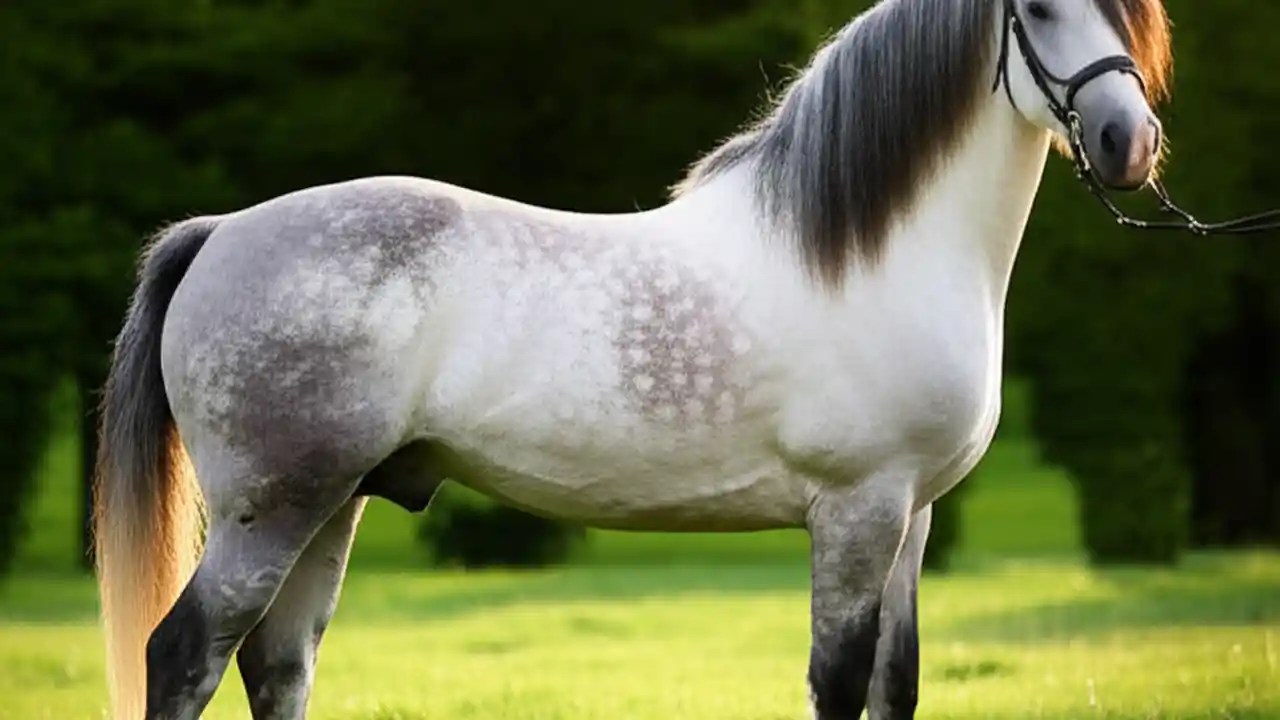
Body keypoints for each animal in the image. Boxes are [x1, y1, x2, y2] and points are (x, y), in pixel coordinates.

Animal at [94, 0, 1173, 717]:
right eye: (1036, 6)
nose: (1128, 141)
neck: (867, 252)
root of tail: (221, 233)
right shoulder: (856, 509)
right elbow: (836, 683)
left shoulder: (911, 514)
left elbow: (892, 686)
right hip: (271, 510)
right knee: (184, 654)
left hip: (328, 505)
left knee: (277, 664)